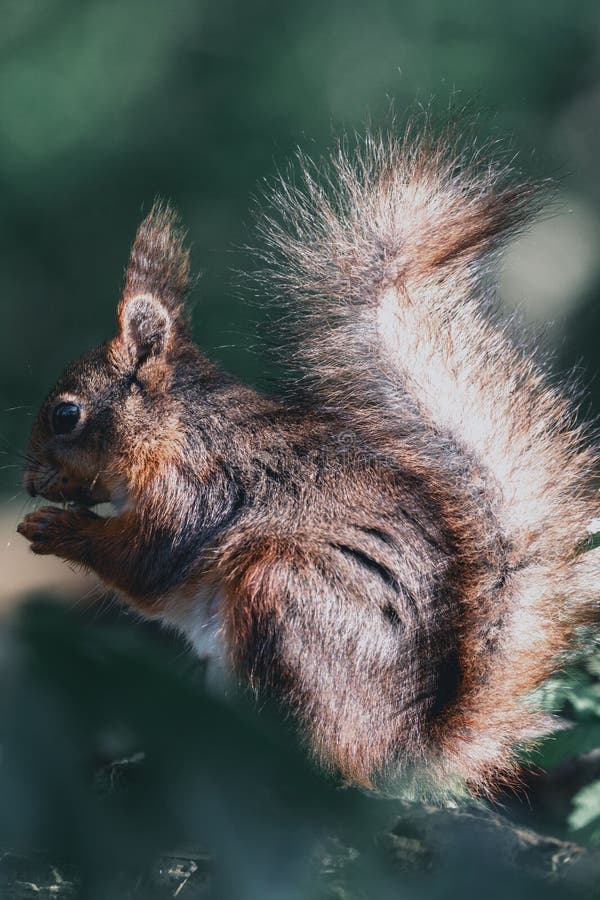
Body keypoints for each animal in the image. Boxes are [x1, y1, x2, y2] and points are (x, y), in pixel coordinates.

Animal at [17, 125, 600, 799]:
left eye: (66, 414)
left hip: (285, 596)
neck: (176, 430)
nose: (28, 482)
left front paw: (56, 529)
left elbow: (145, 559)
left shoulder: (200, 489)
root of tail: (396, 751)